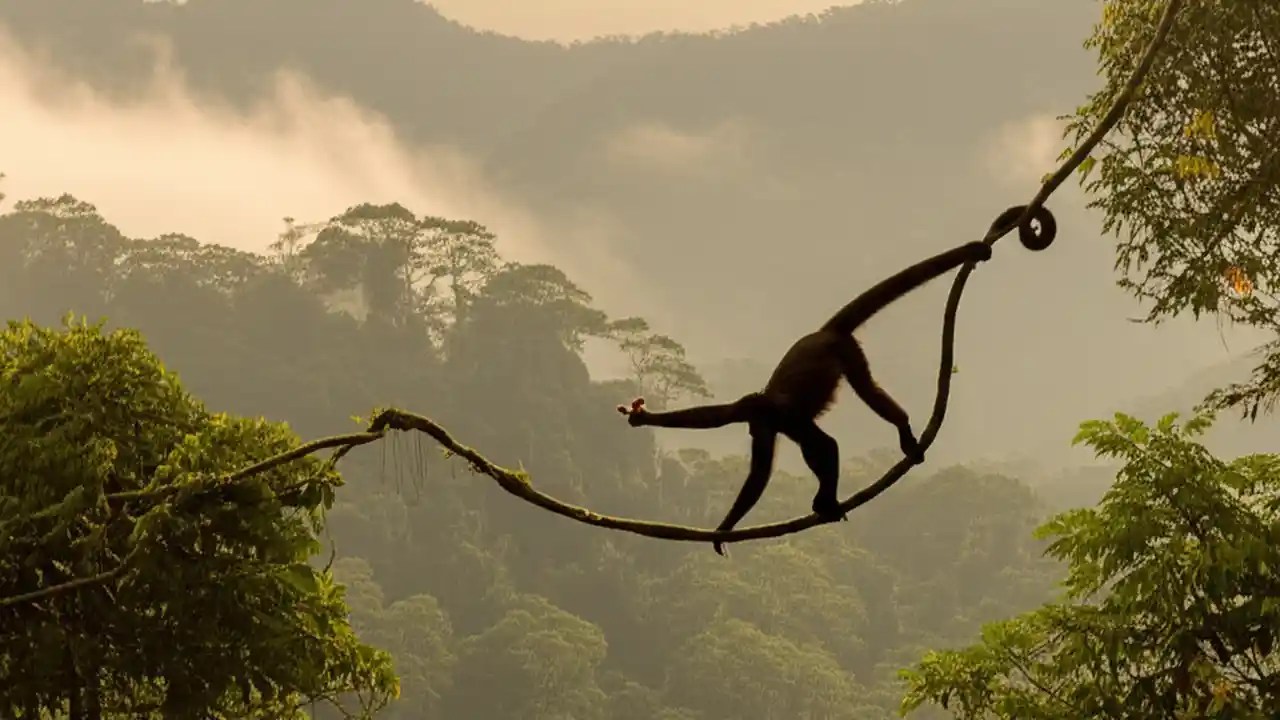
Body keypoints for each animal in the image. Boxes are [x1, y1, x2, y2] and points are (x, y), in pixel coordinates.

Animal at [617, 204, 1056, 554]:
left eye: (758, 426)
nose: (753, 432)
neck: (766, 407)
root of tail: (823, 331)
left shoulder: (784, 418)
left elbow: (816, 449)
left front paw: (821, 504)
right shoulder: (747, 409)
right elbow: (718, 425)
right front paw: (643, 419)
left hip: (848, 352)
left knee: (861, 398)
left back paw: (902, 432)